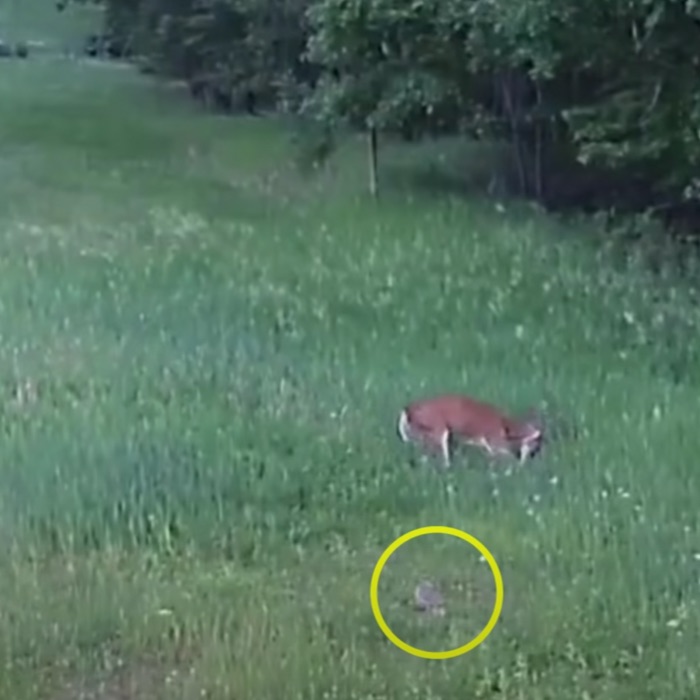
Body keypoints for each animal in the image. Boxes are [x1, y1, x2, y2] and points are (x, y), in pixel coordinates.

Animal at [397, 393, 544, 469]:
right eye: (538, 444)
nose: (535, 457)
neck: (506, 426)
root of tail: (408, 410)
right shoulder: (494, 442)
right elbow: (507, 457)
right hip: (438, 430)